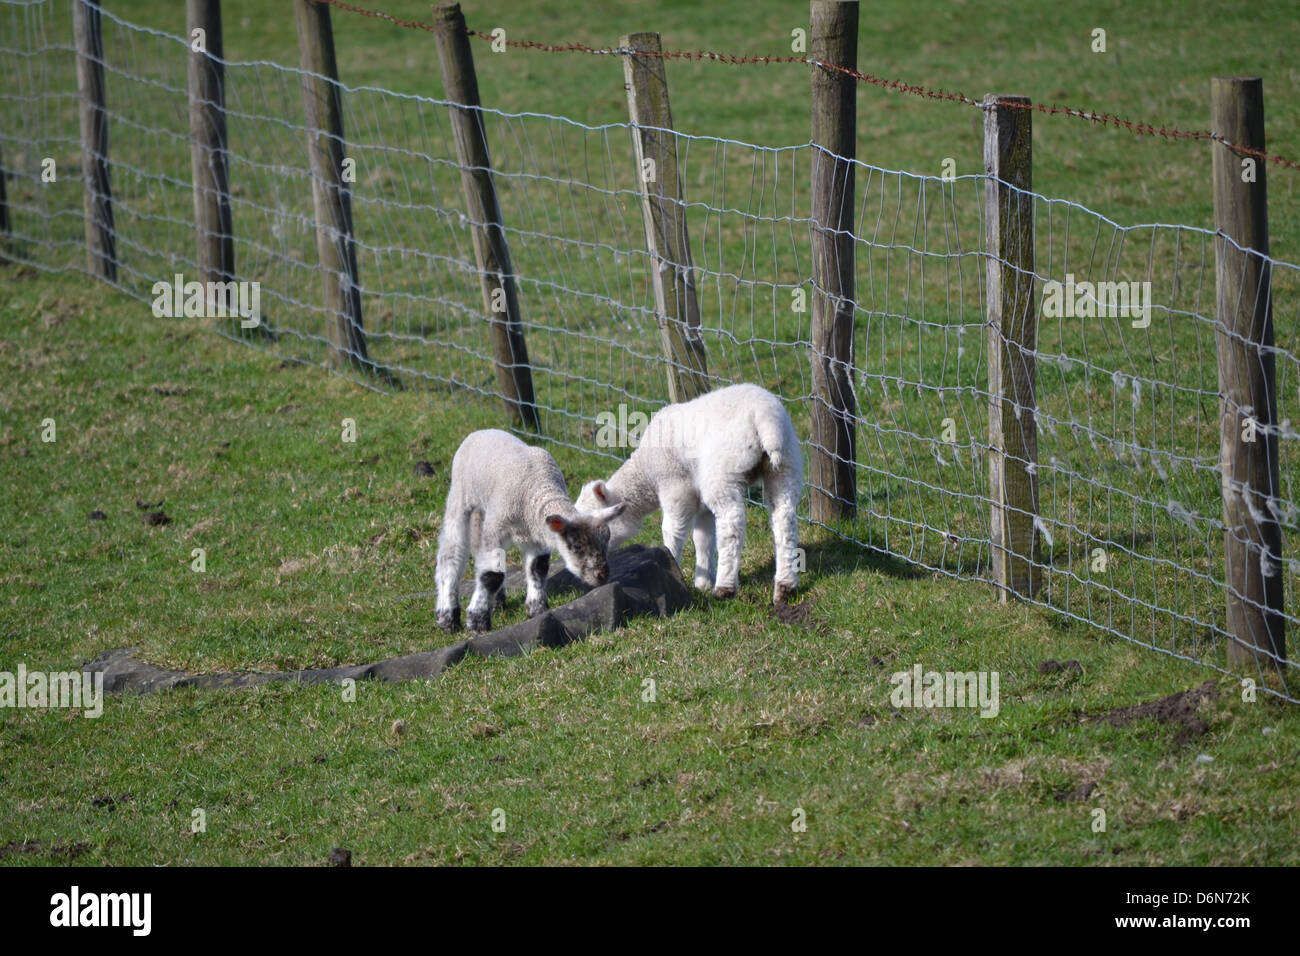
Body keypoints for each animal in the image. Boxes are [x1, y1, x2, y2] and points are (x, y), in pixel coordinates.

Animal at [435, 429, 625, 633]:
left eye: (607, 540)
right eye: (576, 546)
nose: (602, 575)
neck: (538, 489)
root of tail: (482, 431)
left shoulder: (536, 537)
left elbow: (537, 568)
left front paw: (538, 610)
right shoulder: (497, 528)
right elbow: (492, 575)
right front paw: (477, 623)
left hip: (484, 510)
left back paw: (497, 601)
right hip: (460, 496)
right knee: (451, 551)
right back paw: (447, 617)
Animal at [575, 383, 803, 603]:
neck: (646, 471)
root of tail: (765, 419)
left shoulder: (675, 486)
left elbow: (672, 530)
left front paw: (670, 562)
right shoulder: (700, 500)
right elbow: (702, 538)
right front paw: (702, 583)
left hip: (723, 470)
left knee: (732, 524)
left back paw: (725, 587)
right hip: (785, 464)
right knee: (784, 518)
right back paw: (785, 586)